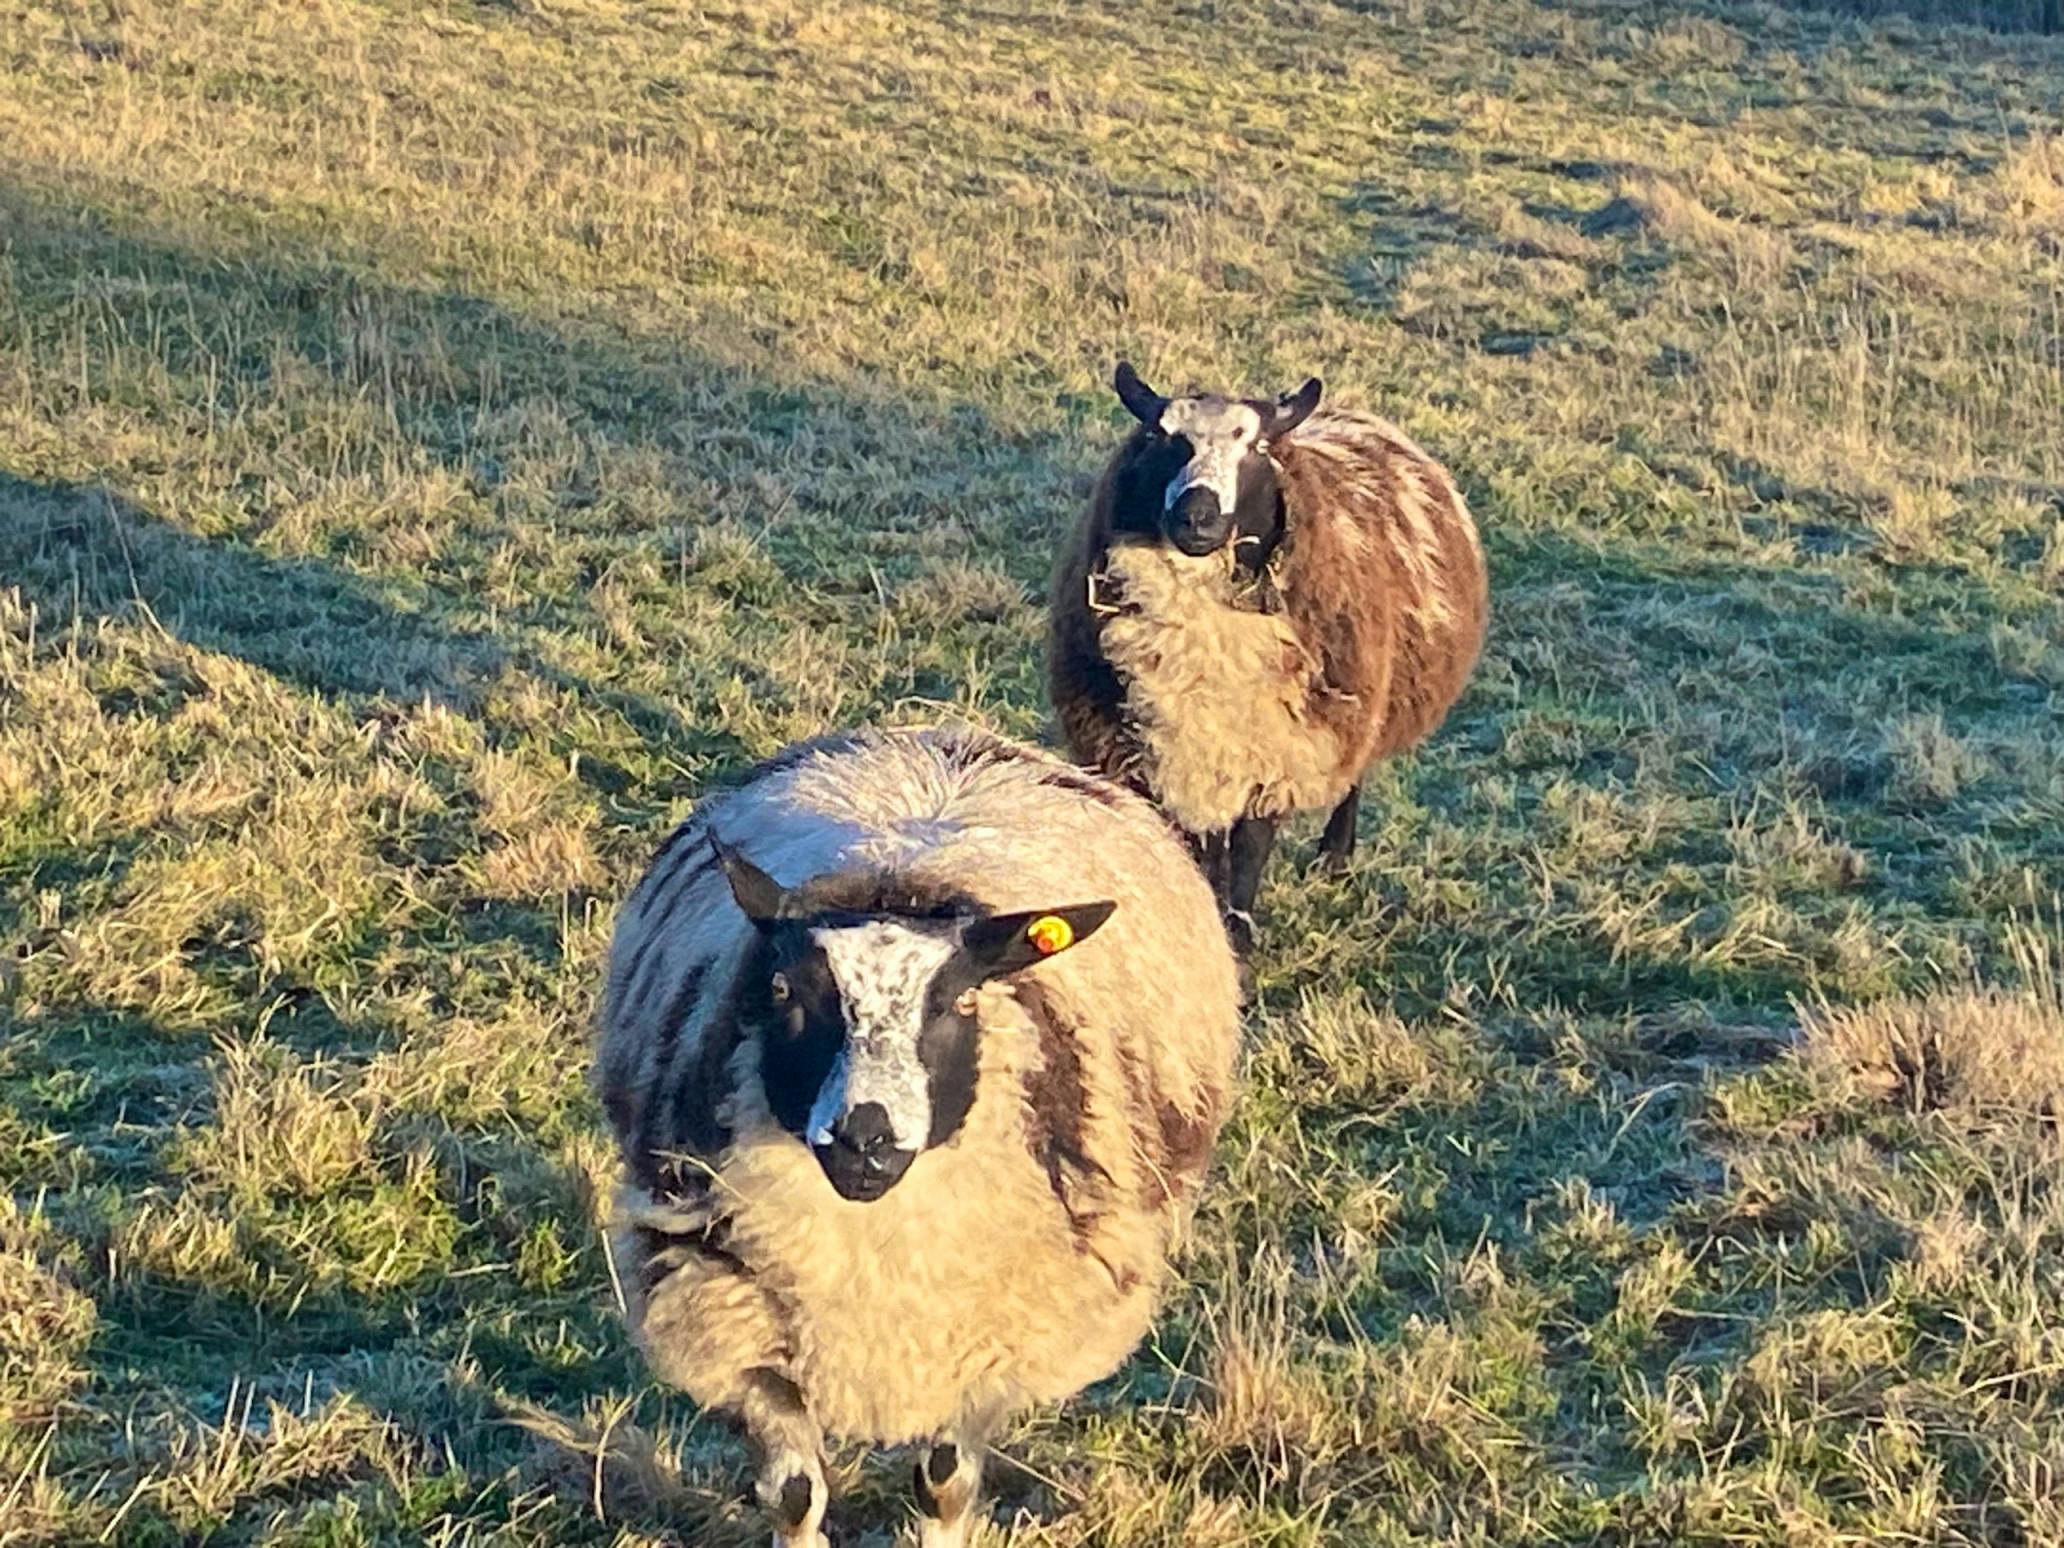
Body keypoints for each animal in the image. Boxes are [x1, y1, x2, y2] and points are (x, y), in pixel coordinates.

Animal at [592, 724, 1241, 1548]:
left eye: (962, 1000)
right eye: (784, 991)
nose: (864, 1140)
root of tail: (941, 732)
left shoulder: (990, 1339)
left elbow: (945, 1484)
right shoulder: (739, 1323)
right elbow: (794, 1494)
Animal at [1048, 360, 1488, 967]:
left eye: (1255, 446)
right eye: (1162, 438)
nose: (1197, 516)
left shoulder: (1277, 748)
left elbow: (1251, 848)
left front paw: (1240, 938)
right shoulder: (1172, 755)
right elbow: (1203, 850)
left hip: (1357, 704)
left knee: (1354, 777)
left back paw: (1334, 856)